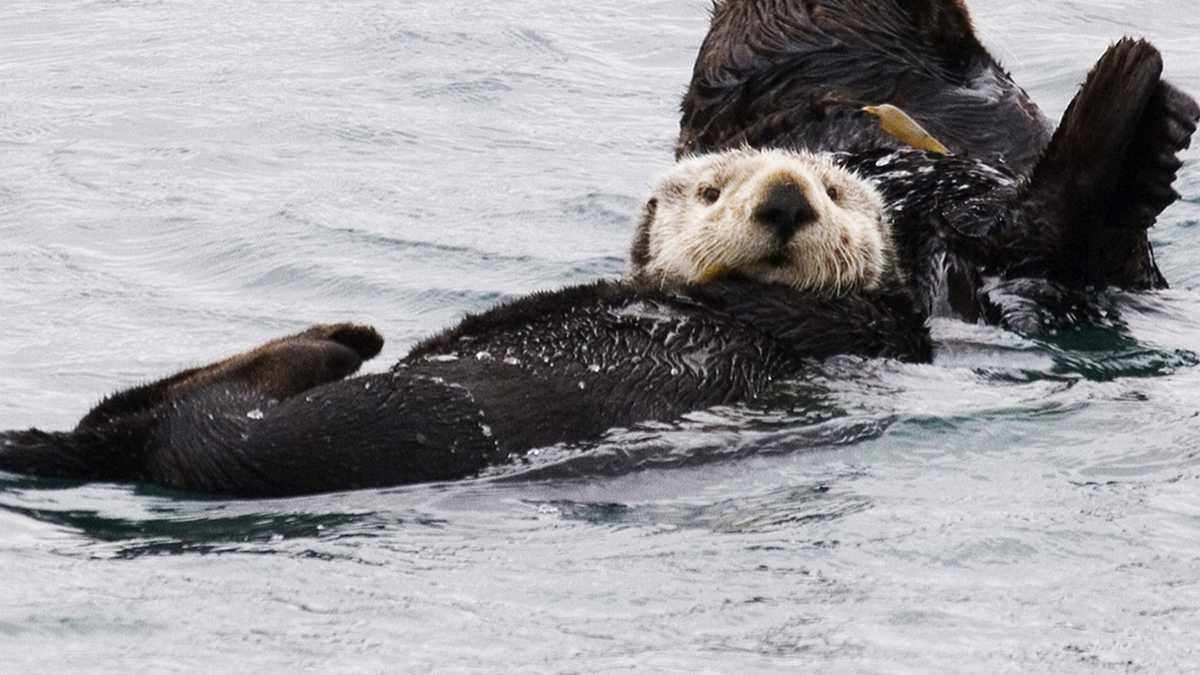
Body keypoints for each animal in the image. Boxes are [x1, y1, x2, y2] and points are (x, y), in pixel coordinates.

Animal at [0, 154, 931, 497]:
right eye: (712, 190)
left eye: (834, 191)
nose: (786, 199)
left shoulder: (857, 327)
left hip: (241, 433)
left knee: (171, 404)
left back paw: (346, 337)